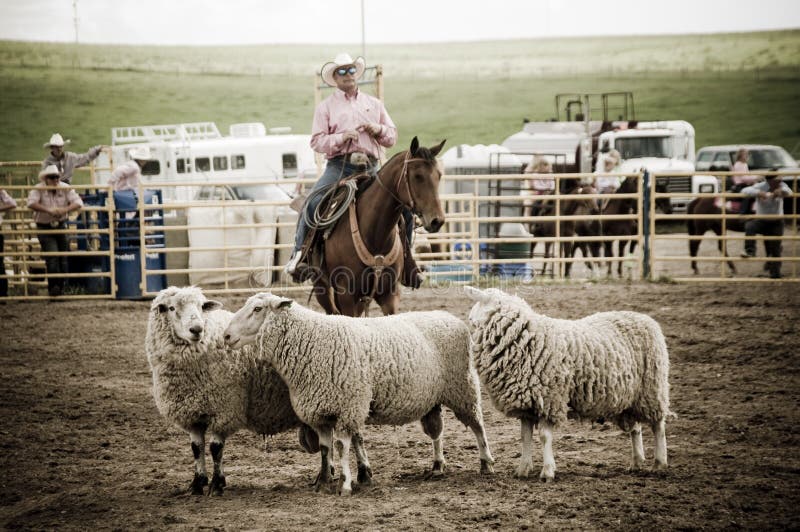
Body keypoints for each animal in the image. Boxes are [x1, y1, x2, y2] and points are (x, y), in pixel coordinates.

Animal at [145, 286, 310, 494]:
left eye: (201, 307)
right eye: (171, 308)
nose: (197, 329)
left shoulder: (224, 409)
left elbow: (216, 448)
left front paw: (217, 484)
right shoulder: (192, 414)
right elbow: (196, 448)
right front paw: (198, 482)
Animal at [223, 290, 494, 494]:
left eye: (258, 309)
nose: (226, 336)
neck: (312, 340)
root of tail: (447, 315)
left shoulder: (349, 405)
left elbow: (342, 446)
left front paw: (344, 485)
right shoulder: (321, 411)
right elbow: (326, 449)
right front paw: (324, 482)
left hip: (463, 387)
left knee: (478, 425)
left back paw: (486, 463)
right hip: (432, 398)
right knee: (436, 431)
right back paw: (438, 466)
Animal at [310, 138, 444, 320]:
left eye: (439, 175)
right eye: (417, 176)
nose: (437, 221)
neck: (375, 235)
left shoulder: (390, 295)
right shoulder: (346, 296)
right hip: (322, 289)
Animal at [462, 286, 668, 482]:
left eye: (474, 313)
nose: (468, 323)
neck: (526, 339)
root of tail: (644, 318)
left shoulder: (550, 398)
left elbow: (544, 436)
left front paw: (547, 472)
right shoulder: (527, 404)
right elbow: (525, 437)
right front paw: (522, 470)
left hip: (652, 388)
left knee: (658, 426)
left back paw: (659, 463)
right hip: (630, 396)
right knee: (636, 427)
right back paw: (637, 462)